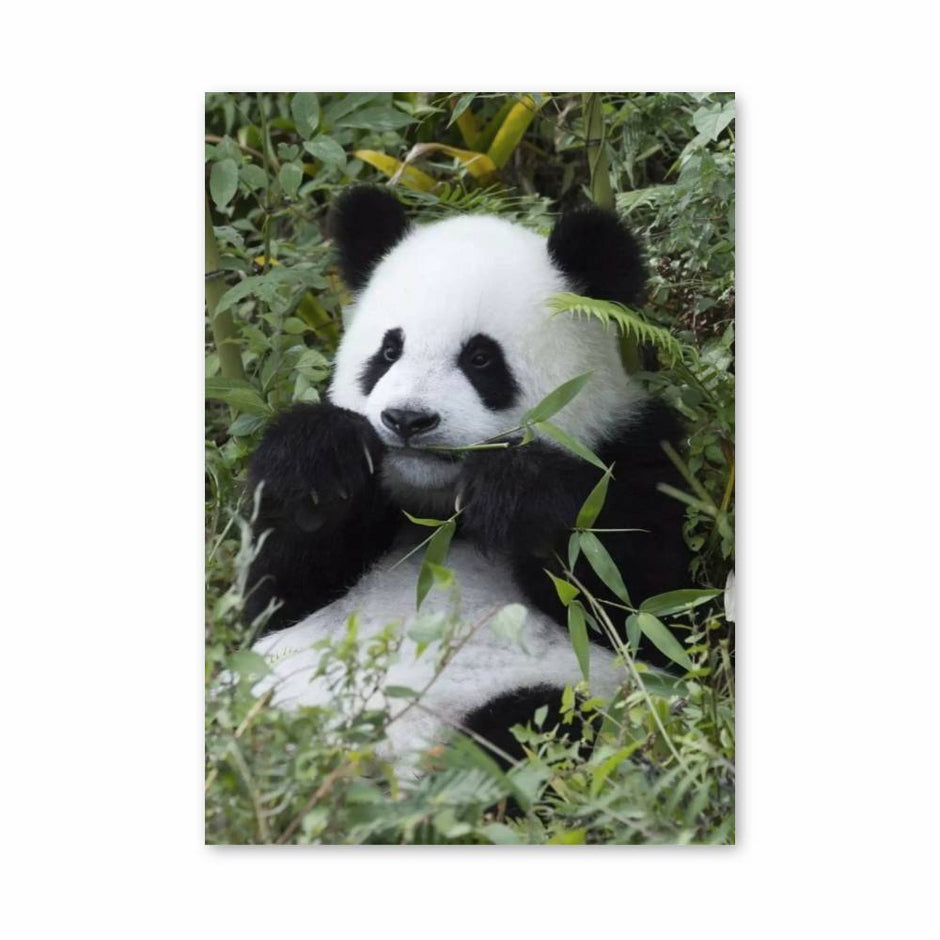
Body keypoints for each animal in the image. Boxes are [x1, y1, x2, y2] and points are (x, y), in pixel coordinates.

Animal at [244, 186, 689, 770]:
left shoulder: (633, 450)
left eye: (480, 358)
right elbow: (274, 595)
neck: (435, 512)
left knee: (535, 723)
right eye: (389, 350)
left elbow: (644, 610)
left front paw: (513, 492)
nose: (408, 419)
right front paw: (321, 457)